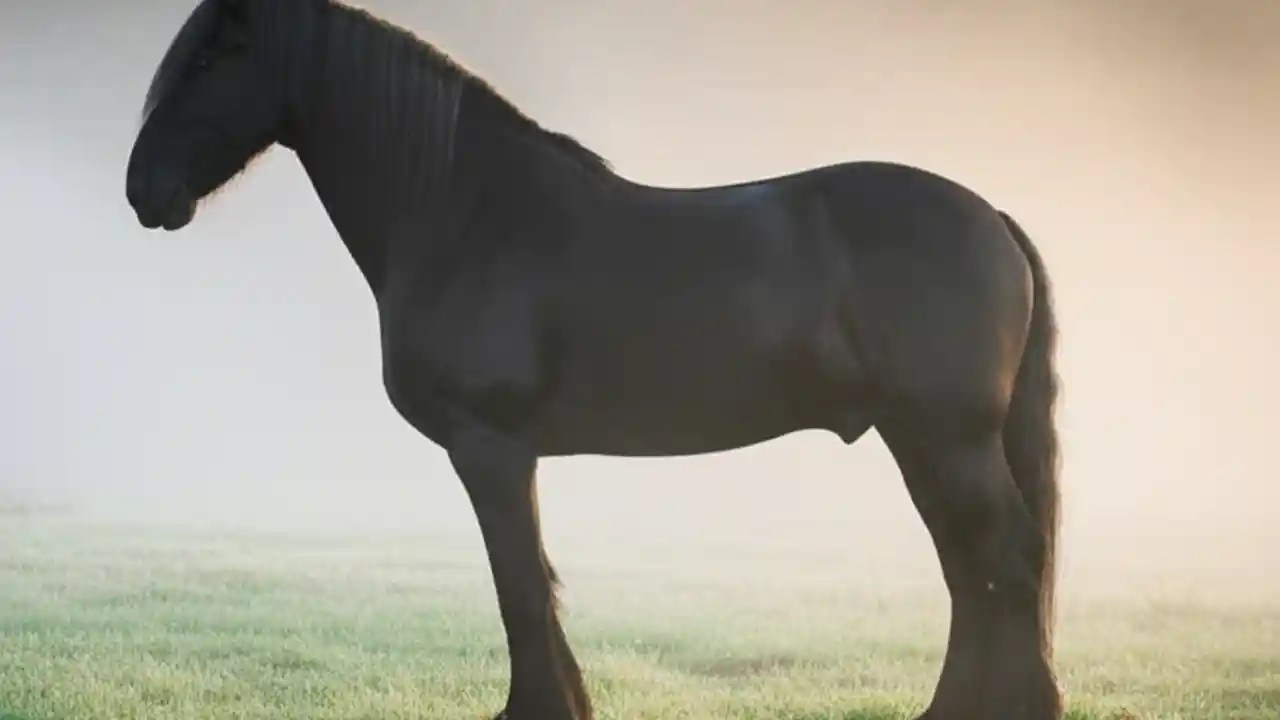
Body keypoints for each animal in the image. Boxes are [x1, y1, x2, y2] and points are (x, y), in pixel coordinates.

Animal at [125, 1, 1063, 718]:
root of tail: (993, 218)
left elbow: (519, 585)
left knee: (1007, 560)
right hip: (924, 440)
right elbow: (532, 585)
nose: (144, 190)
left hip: (948, 438)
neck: (468, 215)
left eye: (217, 52)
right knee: (972, 567)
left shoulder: (490, 448)